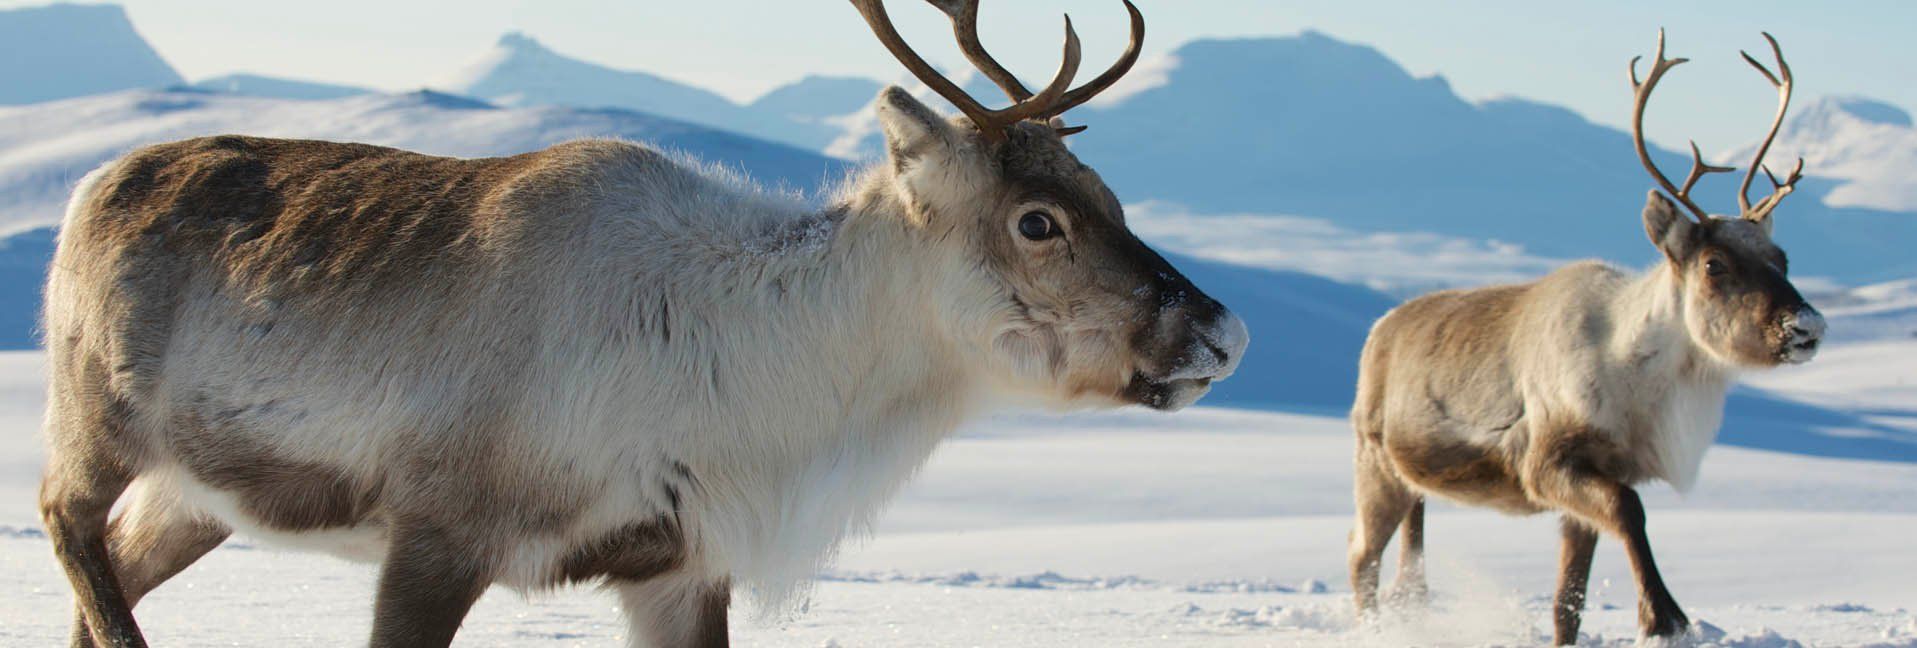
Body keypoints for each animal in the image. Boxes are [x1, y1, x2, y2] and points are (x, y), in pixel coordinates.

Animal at [37, 1, 1249, 646]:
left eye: (1111, 194)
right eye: (1038, 220)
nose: (1224, 333)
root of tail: (94, 184)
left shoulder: (677, 562)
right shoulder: (442, 528)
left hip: (200, 496)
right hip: (96, 424)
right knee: (66, 524)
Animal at [1345, 31, 1822, 645]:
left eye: (1781, 257)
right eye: (1714, 264)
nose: (1806, 326)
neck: (1636, 377)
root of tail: (1380, 329)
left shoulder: (1590, 484)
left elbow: (1566, 603)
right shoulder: (1548, 464)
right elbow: (1630, 510)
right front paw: (1664, 617)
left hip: (1412, 484)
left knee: (1408, 564)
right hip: (1375, 464)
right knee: (1361, 558)